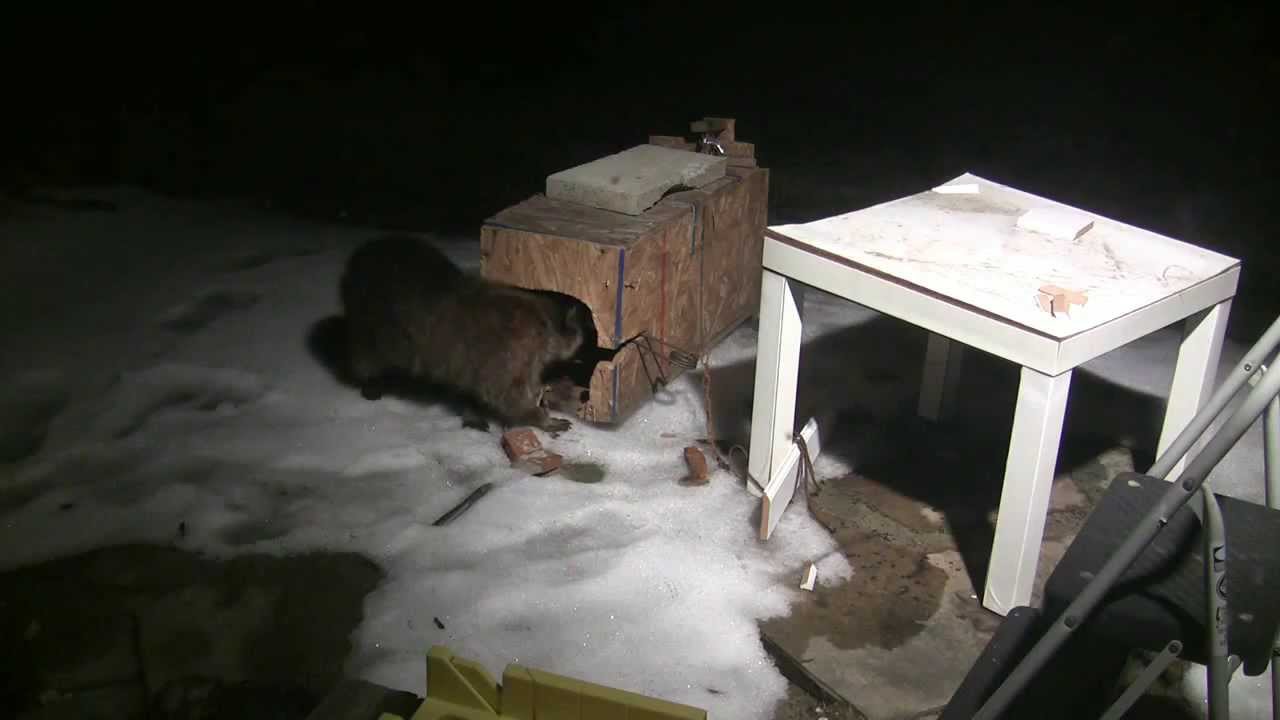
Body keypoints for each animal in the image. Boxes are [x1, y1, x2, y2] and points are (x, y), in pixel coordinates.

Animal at [339, 234, 586, 433]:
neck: (546, 322)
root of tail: (362, 253)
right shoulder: (511, 350)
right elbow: (506, 395)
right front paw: (539, 418)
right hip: (369, 320)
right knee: (365, 354)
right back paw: (368, 379)